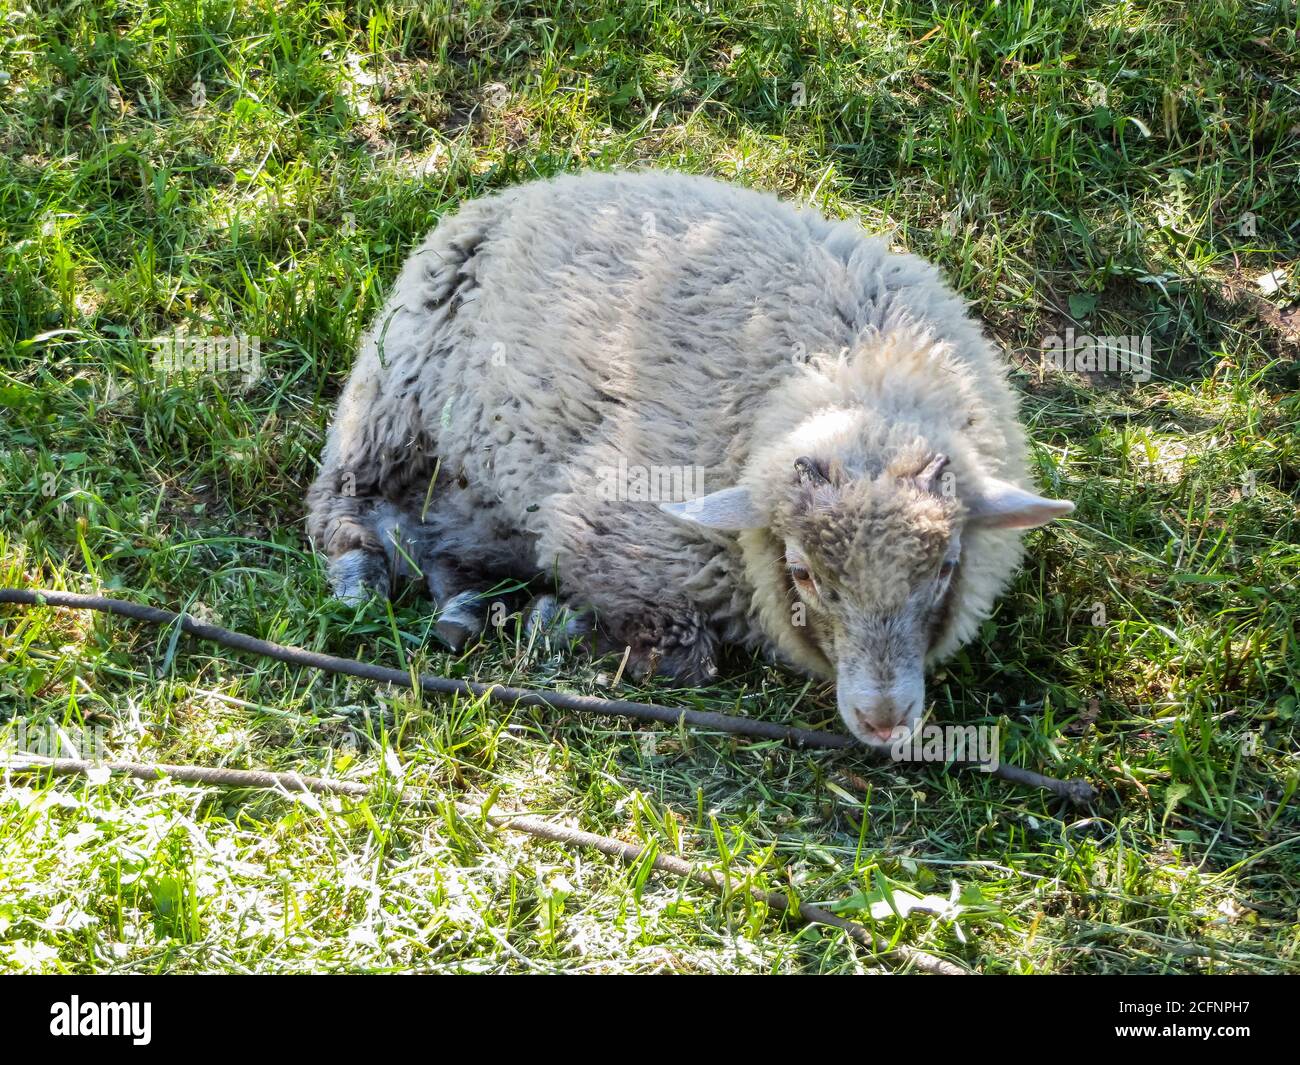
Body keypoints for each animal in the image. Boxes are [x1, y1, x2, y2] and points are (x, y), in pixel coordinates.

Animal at [305, 169, 1073, 749]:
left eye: (945, 570)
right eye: (803, 572)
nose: (883, 720)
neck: (865, 377)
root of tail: (531, 185)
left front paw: (543, 618)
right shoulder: (613, 525)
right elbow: (689, 651)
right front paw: (562, 624)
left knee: (436, 544)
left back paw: (461, 604)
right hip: (389, 399)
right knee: (341, 506)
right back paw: (363, 579)